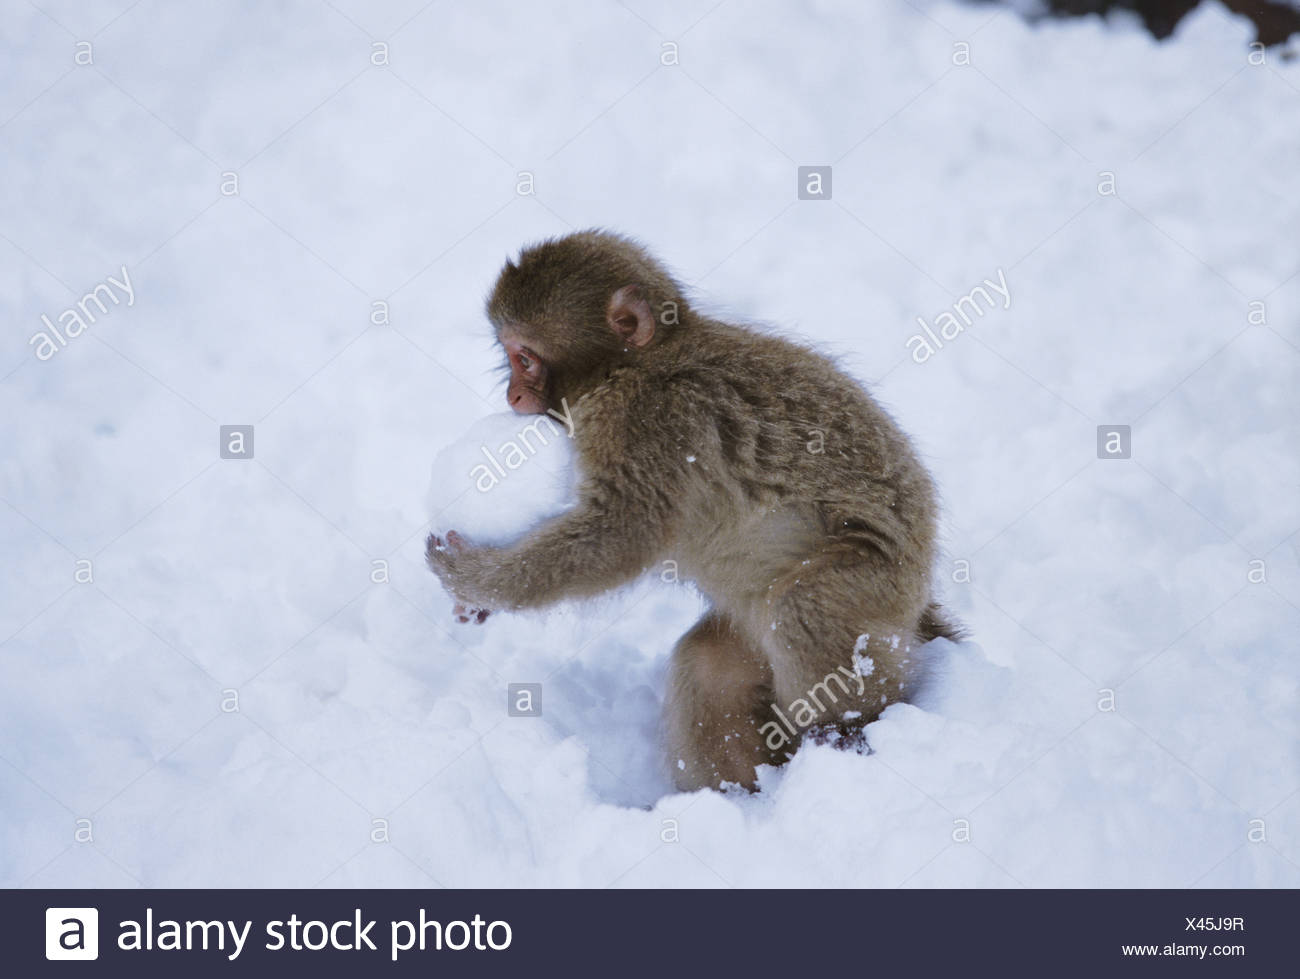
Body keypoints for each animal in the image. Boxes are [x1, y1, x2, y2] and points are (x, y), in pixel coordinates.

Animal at [427, 230, 962, 792]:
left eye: (524, 357)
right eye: (507, 358)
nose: (513, 393)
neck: (632, 366)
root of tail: (920, 599)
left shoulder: (649, 423)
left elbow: (621, 536)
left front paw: (475, 580)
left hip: (881, 584)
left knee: (803, 608)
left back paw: (844, 739)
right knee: (707, 664)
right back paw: (741, 795)